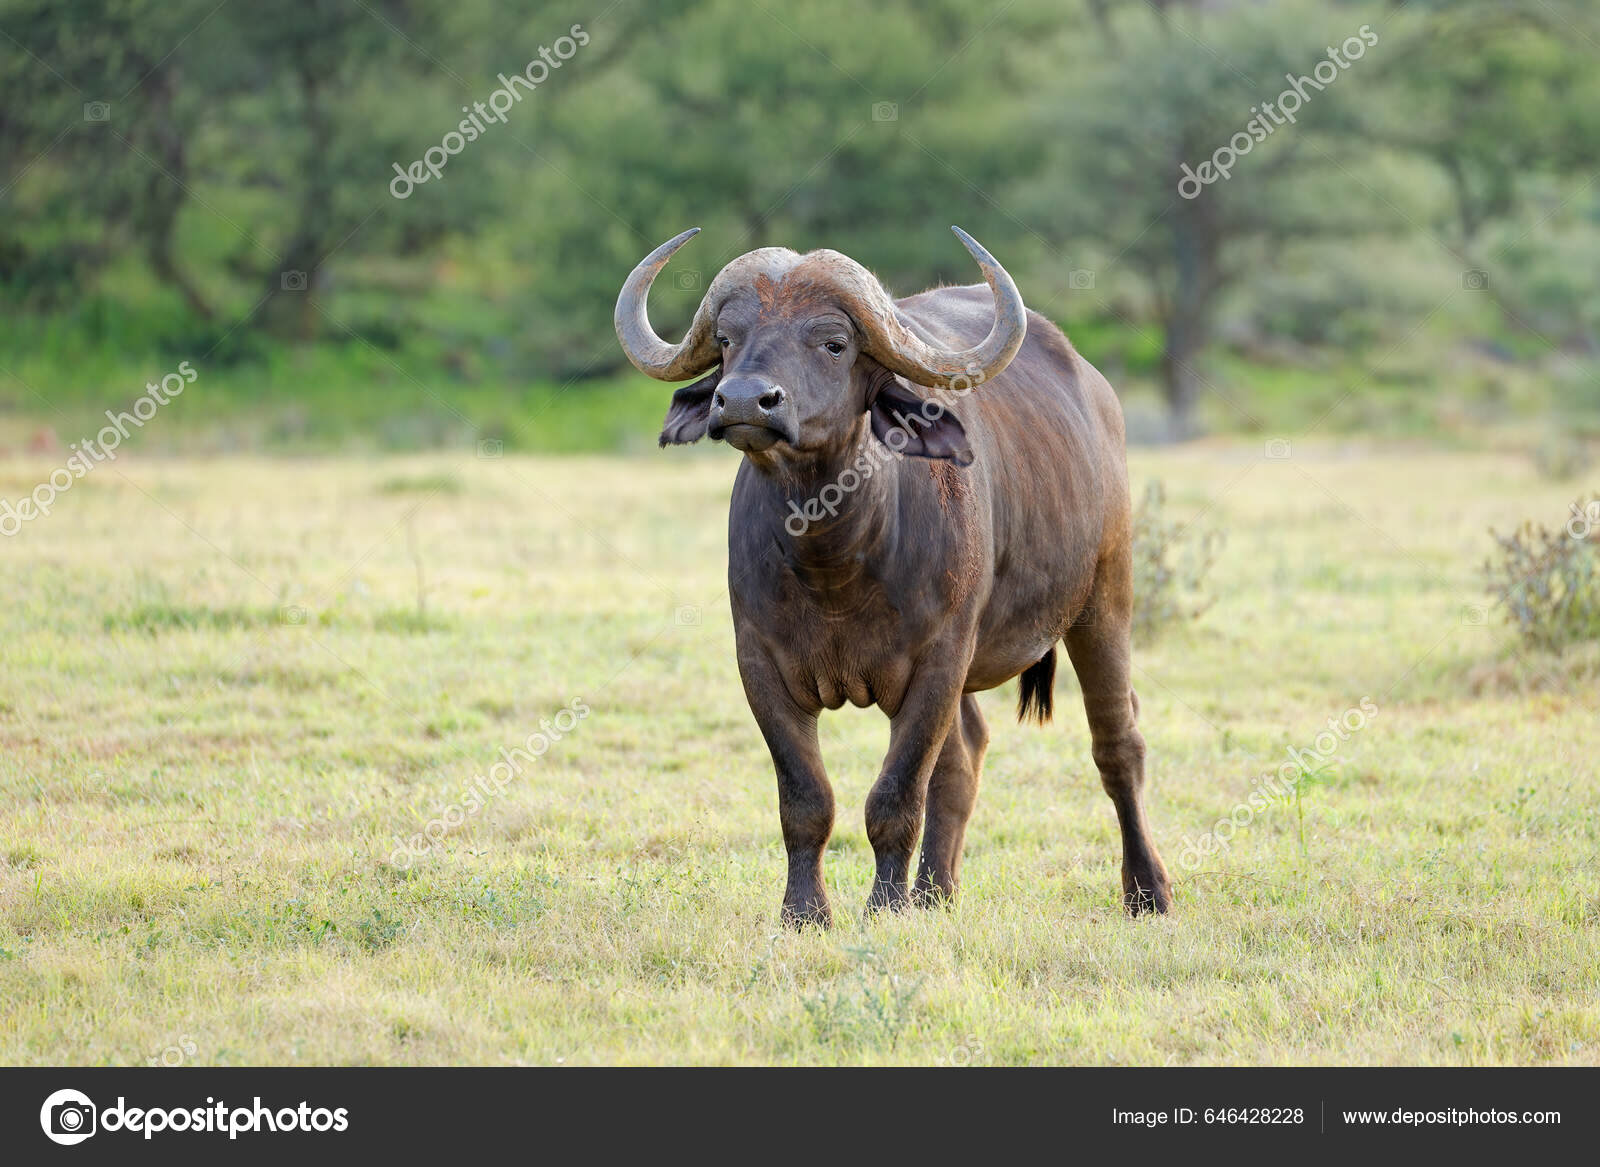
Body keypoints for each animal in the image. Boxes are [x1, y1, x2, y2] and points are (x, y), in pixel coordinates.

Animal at [615, 226, 1172, 926]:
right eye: (727, 337)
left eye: (833, 341)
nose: (743, 400)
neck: (835, 564)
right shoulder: (759, 664)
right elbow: (806, 799)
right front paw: (806, 913)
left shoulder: (939, 661)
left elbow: (896, 796)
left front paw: (884, 906)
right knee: (964, 758)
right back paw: (936, 892)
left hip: (1104, 599)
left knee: (1117, 743)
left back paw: (1147, 891)